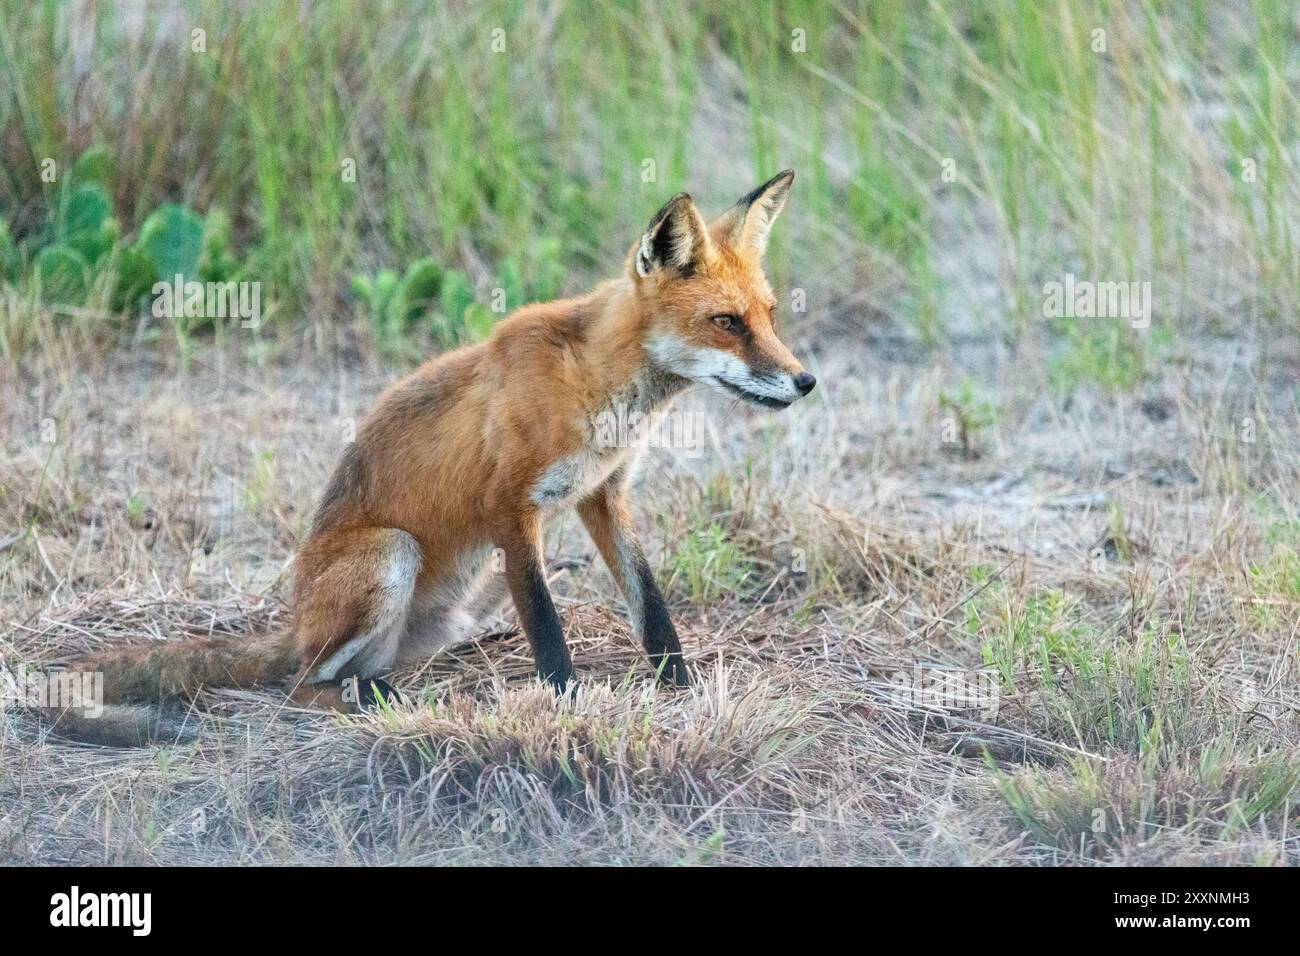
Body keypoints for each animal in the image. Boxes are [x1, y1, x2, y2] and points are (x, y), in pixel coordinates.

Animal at [38, 170, 816, 745]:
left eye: (770, 316)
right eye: (726, 322)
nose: (805, 381)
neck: (597, 386)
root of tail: (294, 624)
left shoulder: (603, 495)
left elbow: (650, 604)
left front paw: (681, 688)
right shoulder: (509, 507)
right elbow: (548, 628)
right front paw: (568, 705)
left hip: (458, 607)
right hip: (392, 554)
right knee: (297, 686)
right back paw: (369, 699)